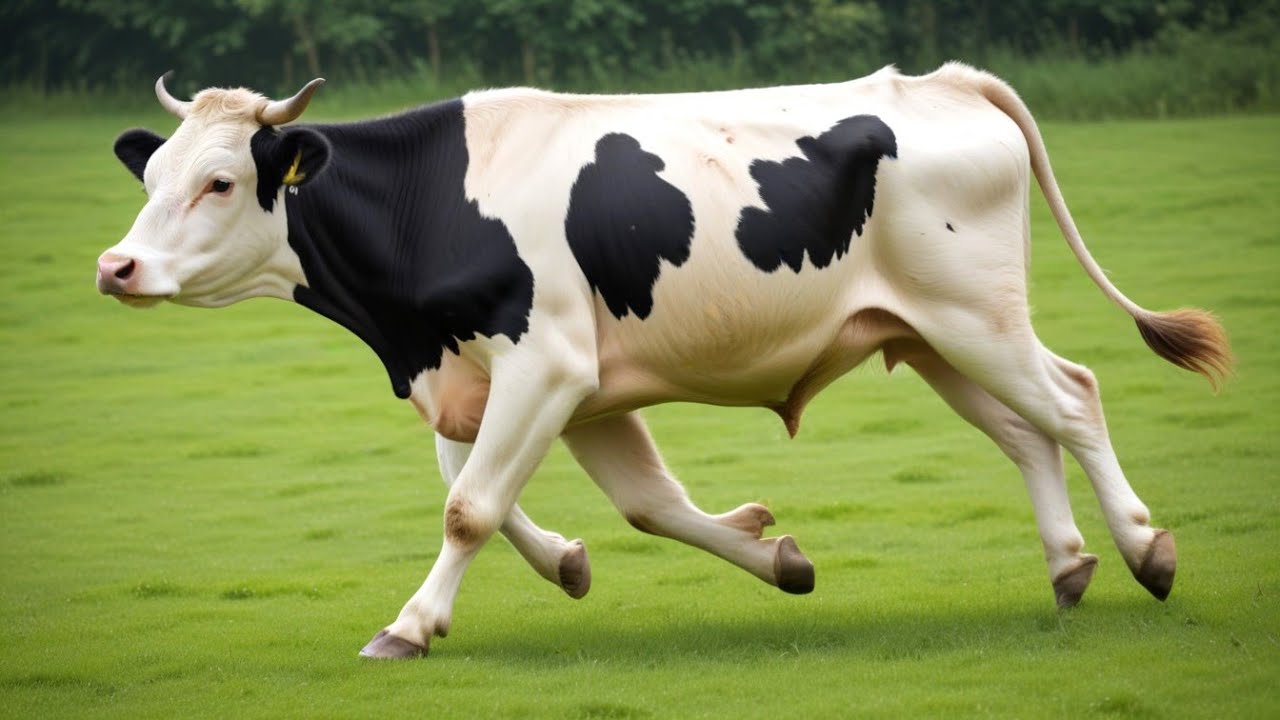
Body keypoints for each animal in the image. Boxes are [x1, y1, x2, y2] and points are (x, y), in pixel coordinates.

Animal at [98, 63, 1232, 659]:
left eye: (217, 182)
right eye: (151, 175)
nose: (115, 267)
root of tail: (940, 80)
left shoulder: (546, 362)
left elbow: (468, 506)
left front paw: (411, 626)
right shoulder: (522, 381)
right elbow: (622, 504)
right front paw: (741, 555)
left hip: (976, 317)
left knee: (1072, 399)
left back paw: (1143, 551)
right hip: (926, 332)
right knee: (1024, 433)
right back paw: (1068, 566)